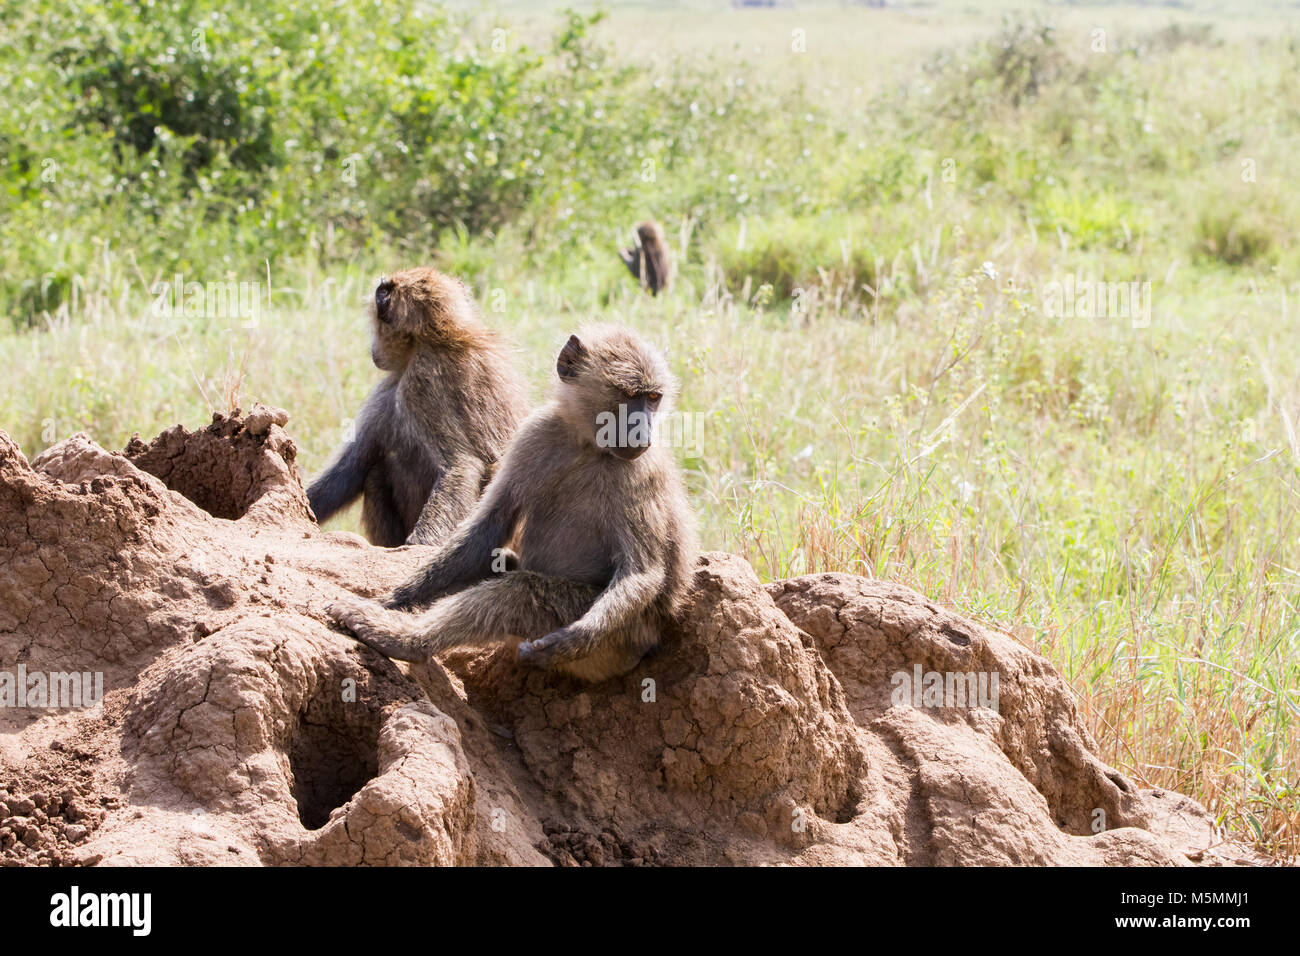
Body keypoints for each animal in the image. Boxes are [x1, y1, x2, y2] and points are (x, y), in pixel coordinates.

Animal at [327, 325, 698, 682]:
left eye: (653, 398)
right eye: (629, 396)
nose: (643, 432)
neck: (587, 445)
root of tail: (645, 648)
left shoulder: (641, 473)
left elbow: (642, 572)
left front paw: (573, 638)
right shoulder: (531, 434)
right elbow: (486, 529)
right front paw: (393, 597)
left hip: (616, 643)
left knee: (519, 594)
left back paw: (403, 640)